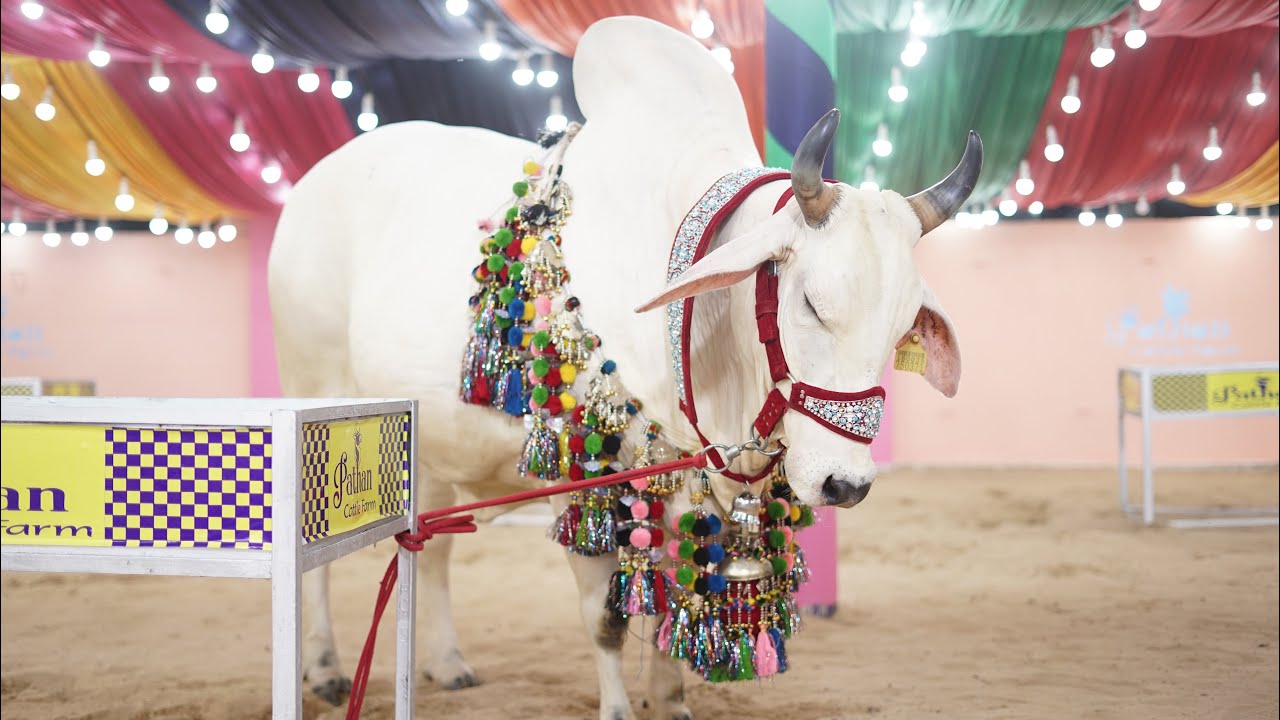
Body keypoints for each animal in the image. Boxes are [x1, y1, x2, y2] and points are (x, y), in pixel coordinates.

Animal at [269, 16, 978, 720]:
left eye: (902, 325)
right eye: (810, 302)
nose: (845, 484)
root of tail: (307, 189)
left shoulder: (685, 479)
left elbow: (670, 599)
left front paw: (668, 700)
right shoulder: (586, 474)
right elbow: (605, 617)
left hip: (430, 447)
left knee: (431, 546)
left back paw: (445, 661)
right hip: (320, 406)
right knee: (321, 558)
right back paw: (325, 667)